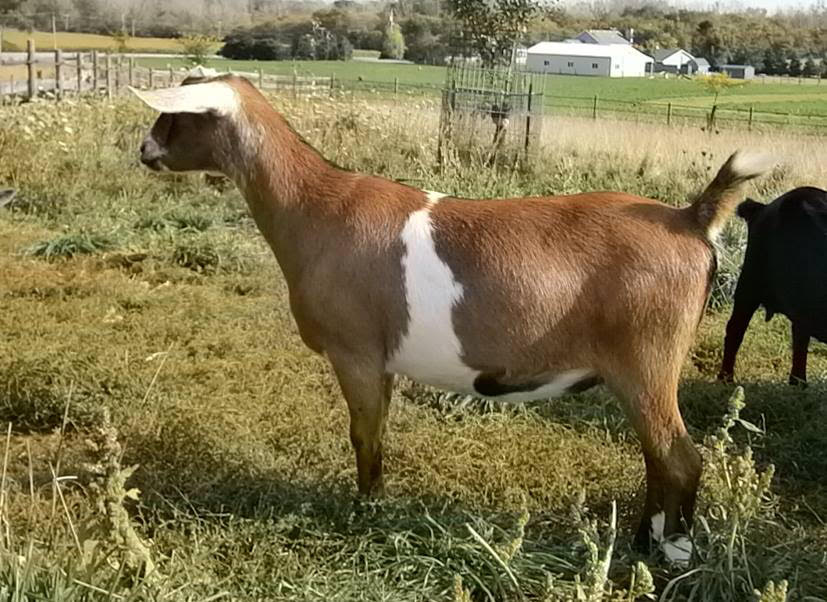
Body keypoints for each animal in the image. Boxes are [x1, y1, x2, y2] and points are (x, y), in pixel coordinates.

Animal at [131, 74, 770, 558]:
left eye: (173, 117)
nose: (143, 152)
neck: (316, 205)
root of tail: (690, 218)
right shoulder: (381, 362)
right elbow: (379, 428)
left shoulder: (355, 352)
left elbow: (364, 435)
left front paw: (366, 510)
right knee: (658, 456)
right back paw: (643, 541)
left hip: (648, 360)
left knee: (680, 459)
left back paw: (671, 555)